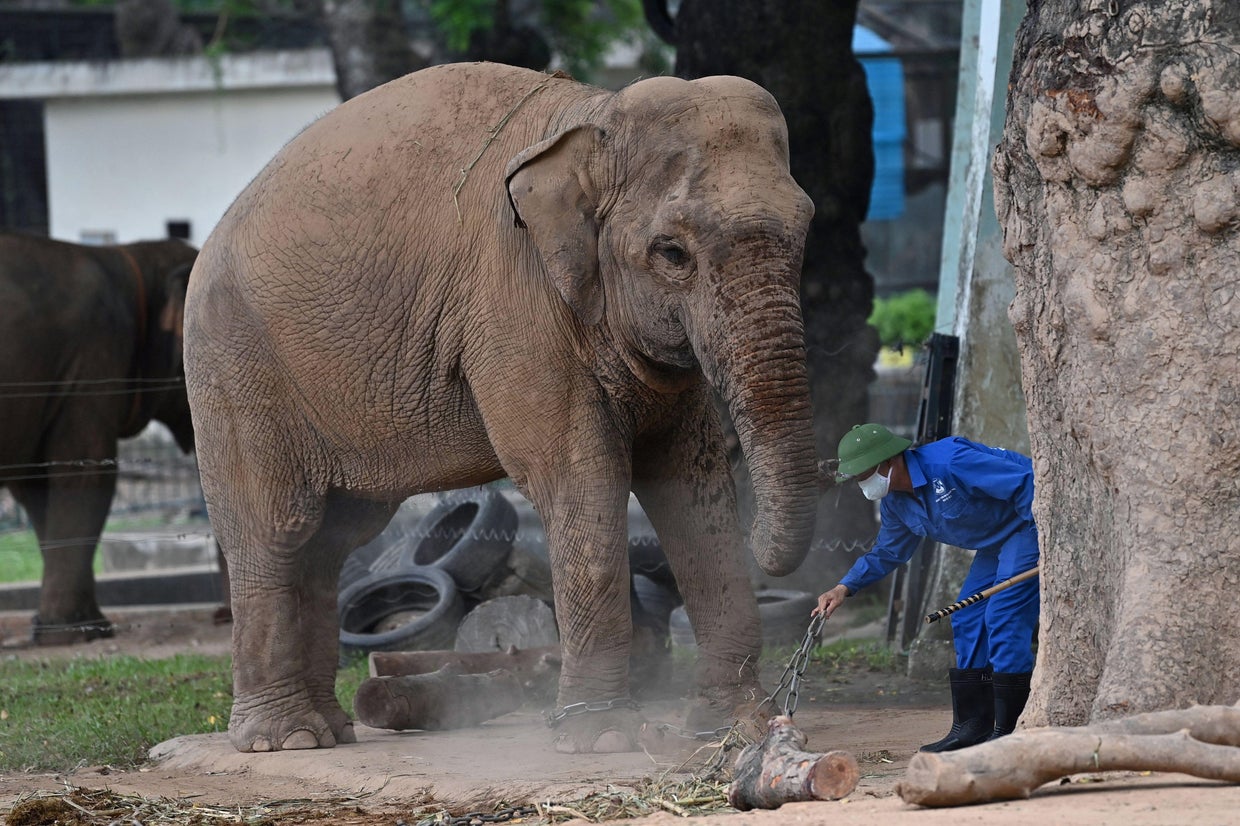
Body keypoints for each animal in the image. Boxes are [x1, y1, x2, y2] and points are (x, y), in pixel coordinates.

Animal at [184, 61, 820, 754]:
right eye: (672, 252)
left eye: (806, 229)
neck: (596, 117)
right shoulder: (516, 303)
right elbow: (579, 478)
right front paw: (601, 737)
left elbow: (690, 482)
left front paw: (737, 725)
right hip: (234, 368)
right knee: (276, 529)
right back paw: (286, 740)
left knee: (333, 540)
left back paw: (332, 730)